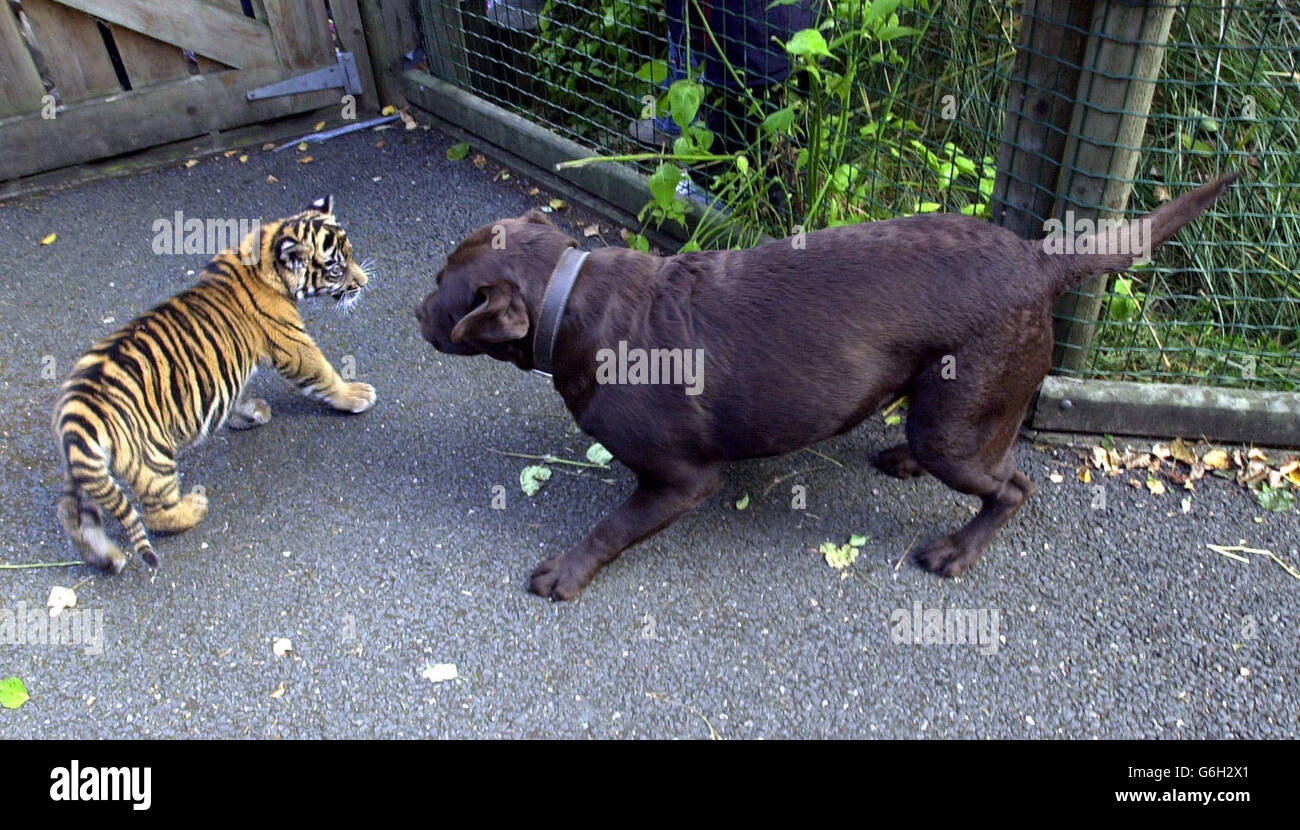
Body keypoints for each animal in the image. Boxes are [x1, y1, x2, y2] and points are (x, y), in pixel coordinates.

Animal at [52, 195, 376, 574]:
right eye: (337, 268)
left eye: (351, 254)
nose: (363, 281)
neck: (263, 254)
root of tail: (76, 414)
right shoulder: (293, 345)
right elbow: (323, 374)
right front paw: (354, 394)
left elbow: (236, 393)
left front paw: (251, 413)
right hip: (153, 459)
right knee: (155, 514)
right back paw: (194, 506)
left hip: (84, 471)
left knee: (71, 514)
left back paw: (107, 557)